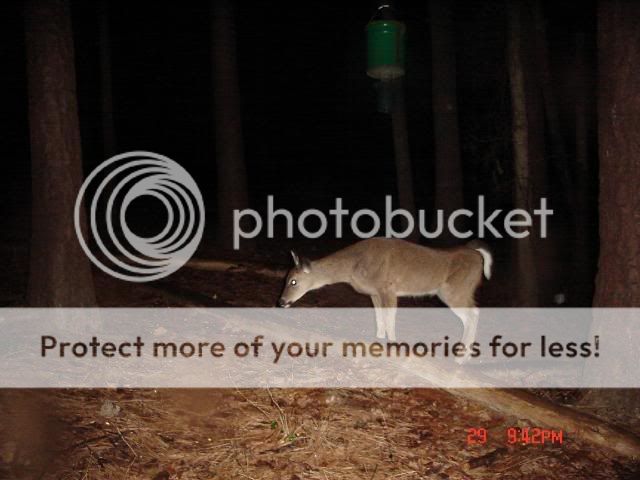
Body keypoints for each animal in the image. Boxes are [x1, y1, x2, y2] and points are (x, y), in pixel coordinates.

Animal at [277, 237, 492, 350]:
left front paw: (393, 343)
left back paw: (461, 357)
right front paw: (379, 339)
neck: (353, 267)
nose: (281, 301)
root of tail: (476, 254)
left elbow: (390, 316)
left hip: (453, 290)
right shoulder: (374, 292)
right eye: (285, 278)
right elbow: (379, 317)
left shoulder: (387, 287)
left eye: (293, 281)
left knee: (473, 314)